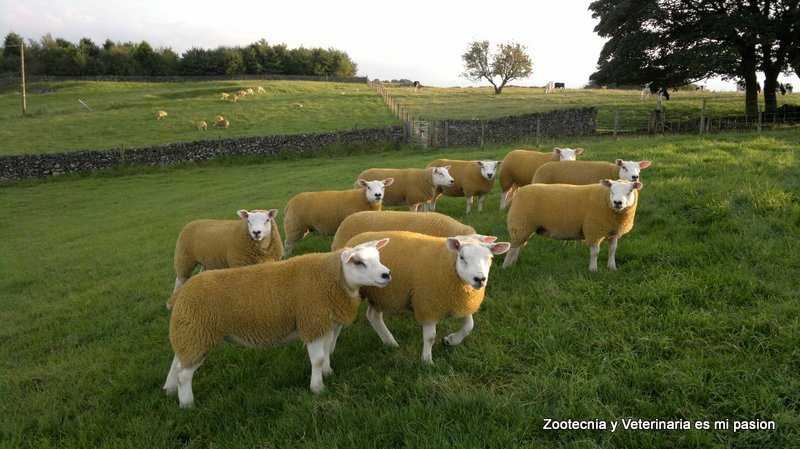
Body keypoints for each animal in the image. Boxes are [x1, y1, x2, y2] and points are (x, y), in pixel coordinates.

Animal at [163, 238, 392, 407]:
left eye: (378, 257)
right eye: (358, 262)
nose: (386, 274)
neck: (332, 278)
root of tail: (181, 293)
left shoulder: (323, 324)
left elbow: (326, 352)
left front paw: (328, 373)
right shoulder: (312, 322)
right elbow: (317, 359)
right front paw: (318, 388)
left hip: (189, 331)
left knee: (177, 362)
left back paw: (170, 389)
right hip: (198, 333)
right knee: (184, 374)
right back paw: (187, 404)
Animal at [345, 231, 510, 364]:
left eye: (490, 258)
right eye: (462, 257)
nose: (479, 279)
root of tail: (356, 238)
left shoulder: (462, 303)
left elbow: (469, 326)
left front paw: (451, 340)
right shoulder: (428, 305)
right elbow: (430, 337)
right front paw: (427, 361)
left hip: (382, 295)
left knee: (373, 316)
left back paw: (390, 342)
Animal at [503, 179, 642, 272]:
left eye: (630, 191)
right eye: (612, 190)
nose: (617, 202)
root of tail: (520, 191)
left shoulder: (613, 232)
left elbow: (613, 250)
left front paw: (612, 267)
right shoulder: (593, 230)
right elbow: (595, 253)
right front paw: (593, 269)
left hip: (524, 227)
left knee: (517, 246)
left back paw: (513, 264)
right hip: (520, 224)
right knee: (512, 247)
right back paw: (506, 267)